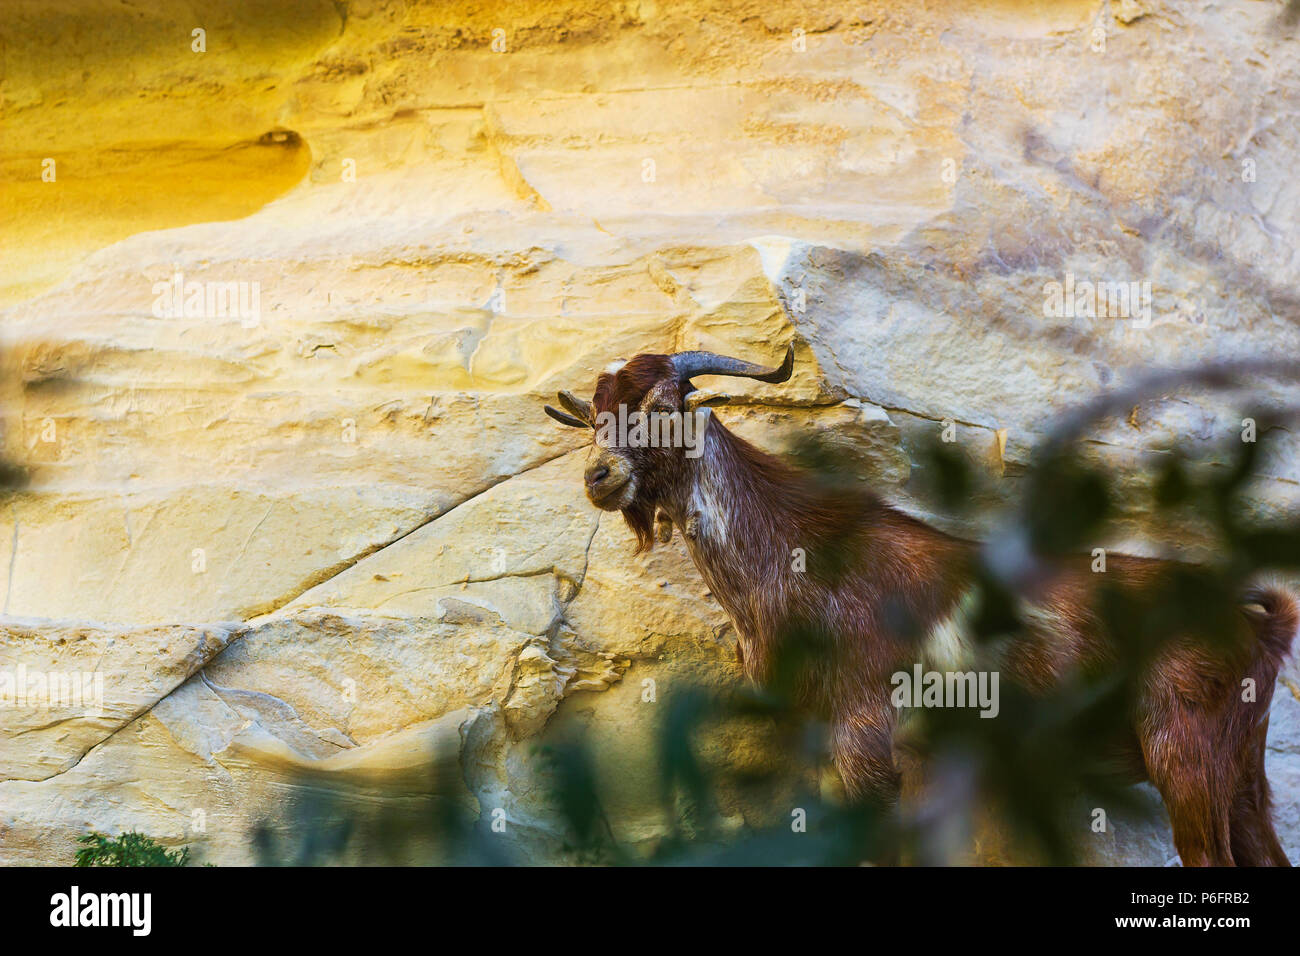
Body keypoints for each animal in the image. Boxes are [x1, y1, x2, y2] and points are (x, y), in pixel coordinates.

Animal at [544, 345, 1297, 866]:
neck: (796, 557)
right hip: (1242, 769)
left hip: (1185, 751)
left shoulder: (867, 739)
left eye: (664, 407)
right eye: (595, 416)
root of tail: (1259, 626)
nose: (599, 477)